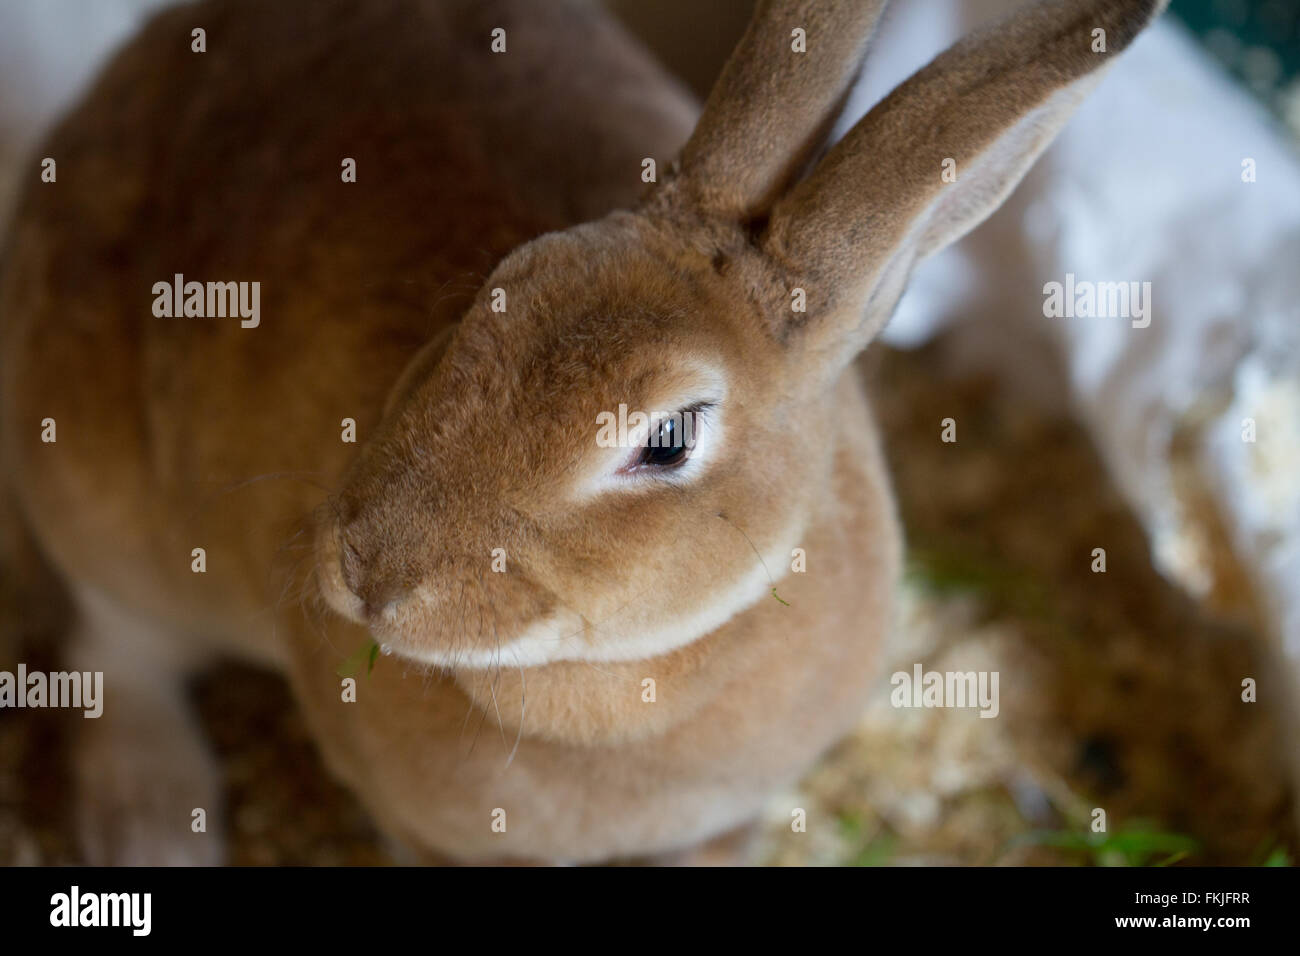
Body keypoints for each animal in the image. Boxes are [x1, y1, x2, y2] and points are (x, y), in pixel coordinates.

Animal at [0, 0, 1167, 865]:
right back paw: (149, 830)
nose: (365, 573)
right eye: (495, 289)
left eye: (667, 439)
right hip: (102, 506)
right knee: (114, 652)